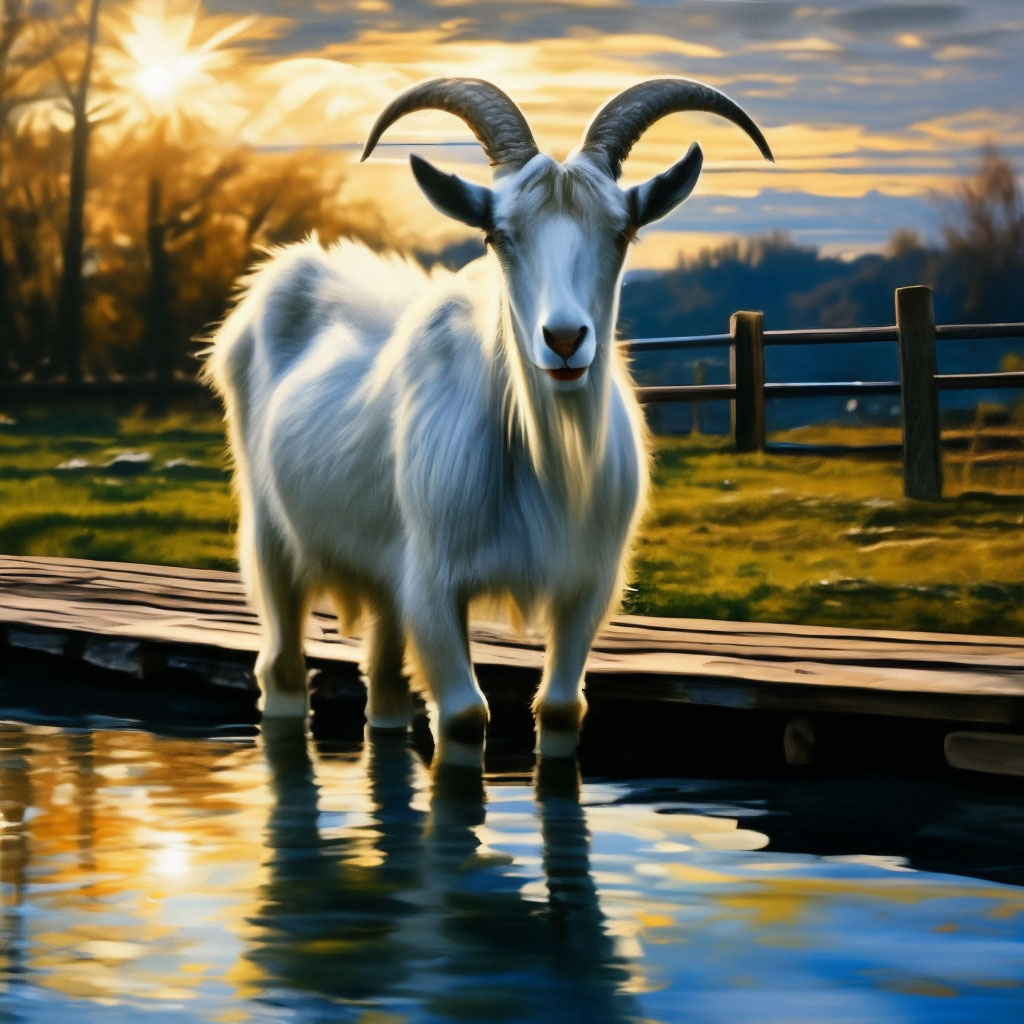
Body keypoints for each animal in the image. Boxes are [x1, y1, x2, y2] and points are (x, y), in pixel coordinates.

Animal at [206, 77, 772, 762]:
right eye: (498, 236)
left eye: (621, 233)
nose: (563, 340)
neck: (543, 466)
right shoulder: (432, 581)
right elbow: (464, 717)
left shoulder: (586, 583)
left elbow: (561, 708)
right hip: (272, 535)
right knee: (284, 665)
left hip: (383, 570)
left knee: (385, 683)